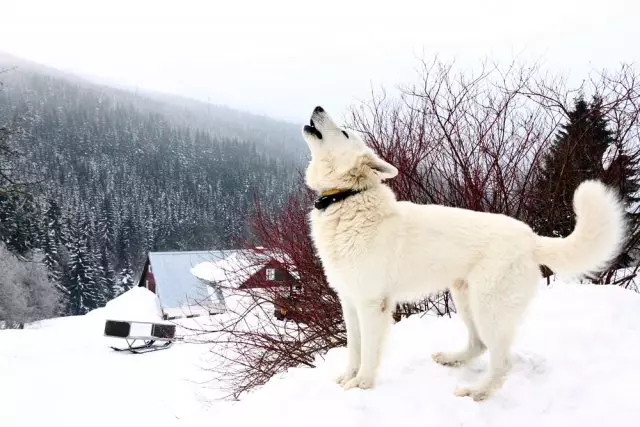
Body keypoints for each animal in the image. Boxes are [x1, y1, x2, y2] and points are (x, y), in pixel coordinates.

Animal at [302, 106, 628, 402]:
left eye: (344, 132)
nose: (318, 107)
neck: (347, 198)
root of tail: (531, 239)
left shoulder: (372, 304)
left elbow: (369, 351)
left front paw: (362, 384)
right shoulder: (349, 301)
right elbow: (354, 348)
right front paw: (347, 377)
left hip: (488, 308)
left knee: (502, 361)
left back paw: (478, 392)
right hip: (465, 297)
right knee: (479, 345)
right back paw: (453, 359)